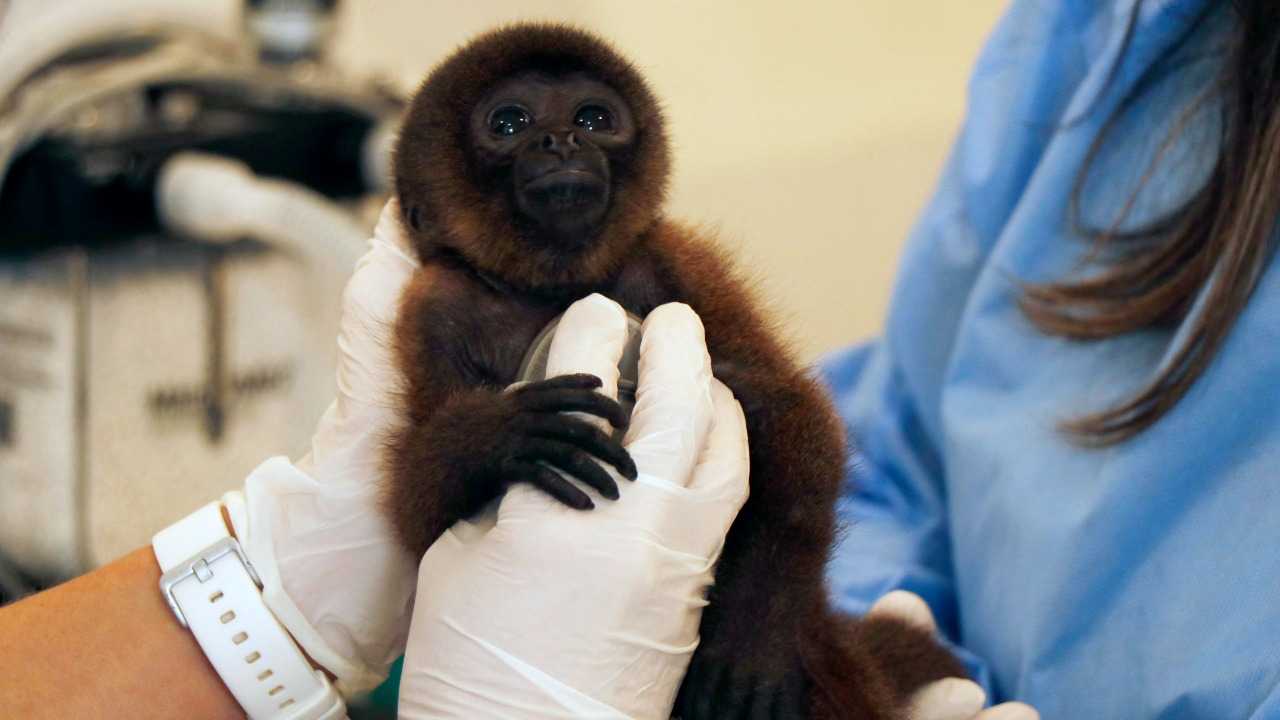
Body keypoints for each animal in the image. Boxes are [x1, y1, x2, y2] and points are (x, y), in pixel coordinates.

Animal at [384, 23, 966, 719]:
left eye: (593, 117)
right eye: (509, 122)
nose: (562, 139)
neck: (552, 287)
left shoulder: (675, 257)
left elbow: (787, 408)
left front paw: (755, 636)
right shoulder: (431, 311)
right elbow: (416, 514)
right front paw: (502, 436)